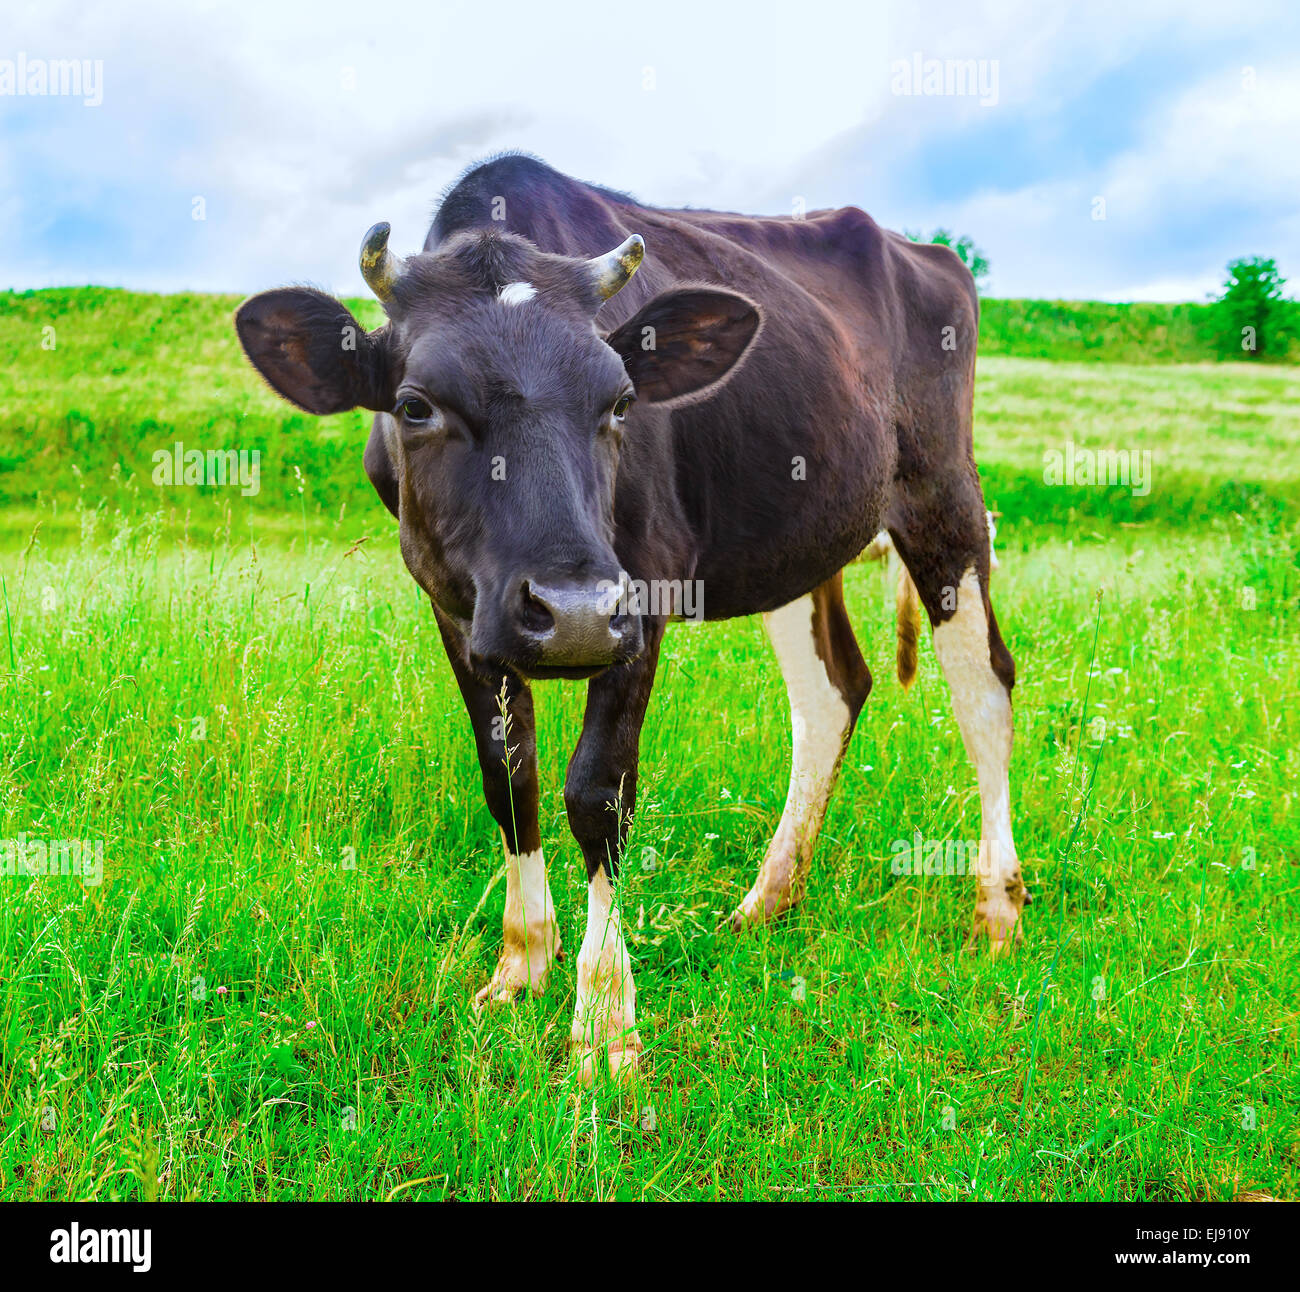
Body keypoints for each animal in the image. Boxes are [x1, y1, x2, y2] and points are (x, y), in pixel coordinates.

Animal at [234, 153, 1025, 1084]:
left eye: (619, 402)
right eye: (417, 404)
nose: (573, 613)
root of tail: (927, 254)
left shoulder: (643, 590)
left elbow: (596, 793)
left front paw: (605, 1024)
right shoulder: (451, 601)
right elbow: (510, 774)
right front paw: (520, 964)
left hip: (944, 492)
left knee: (982, 686)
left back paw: (996, 908)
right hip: (800, 536)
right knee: (832, 690)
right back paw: (768, 898)